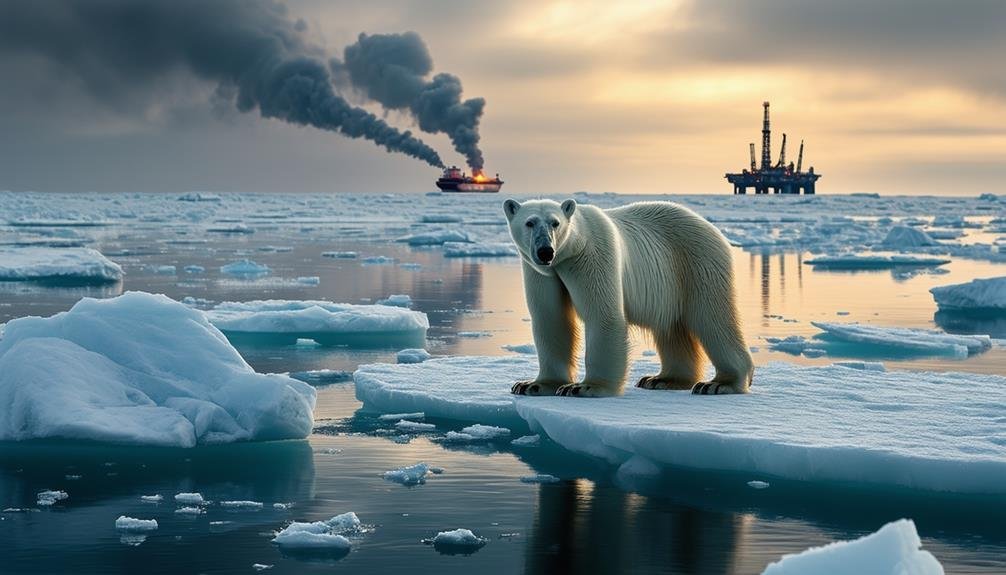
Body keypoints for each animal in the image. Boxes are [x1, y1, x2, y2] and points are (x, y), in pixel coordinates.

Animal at [503, 198, 753, 397]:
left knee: (712, 318)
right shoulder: (541, 272)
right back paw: (662, 379)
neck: (572, 249)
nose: (546, 251)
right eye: (529, 222)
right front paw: (533, 385)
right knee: (672, 328)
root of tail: (713, 229)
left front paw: (584, 387)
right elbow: (550, 318)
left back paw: (718, 384)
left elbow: (603, 315)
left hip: (697, 262)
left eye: (555, 223)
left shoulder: (592, 257)